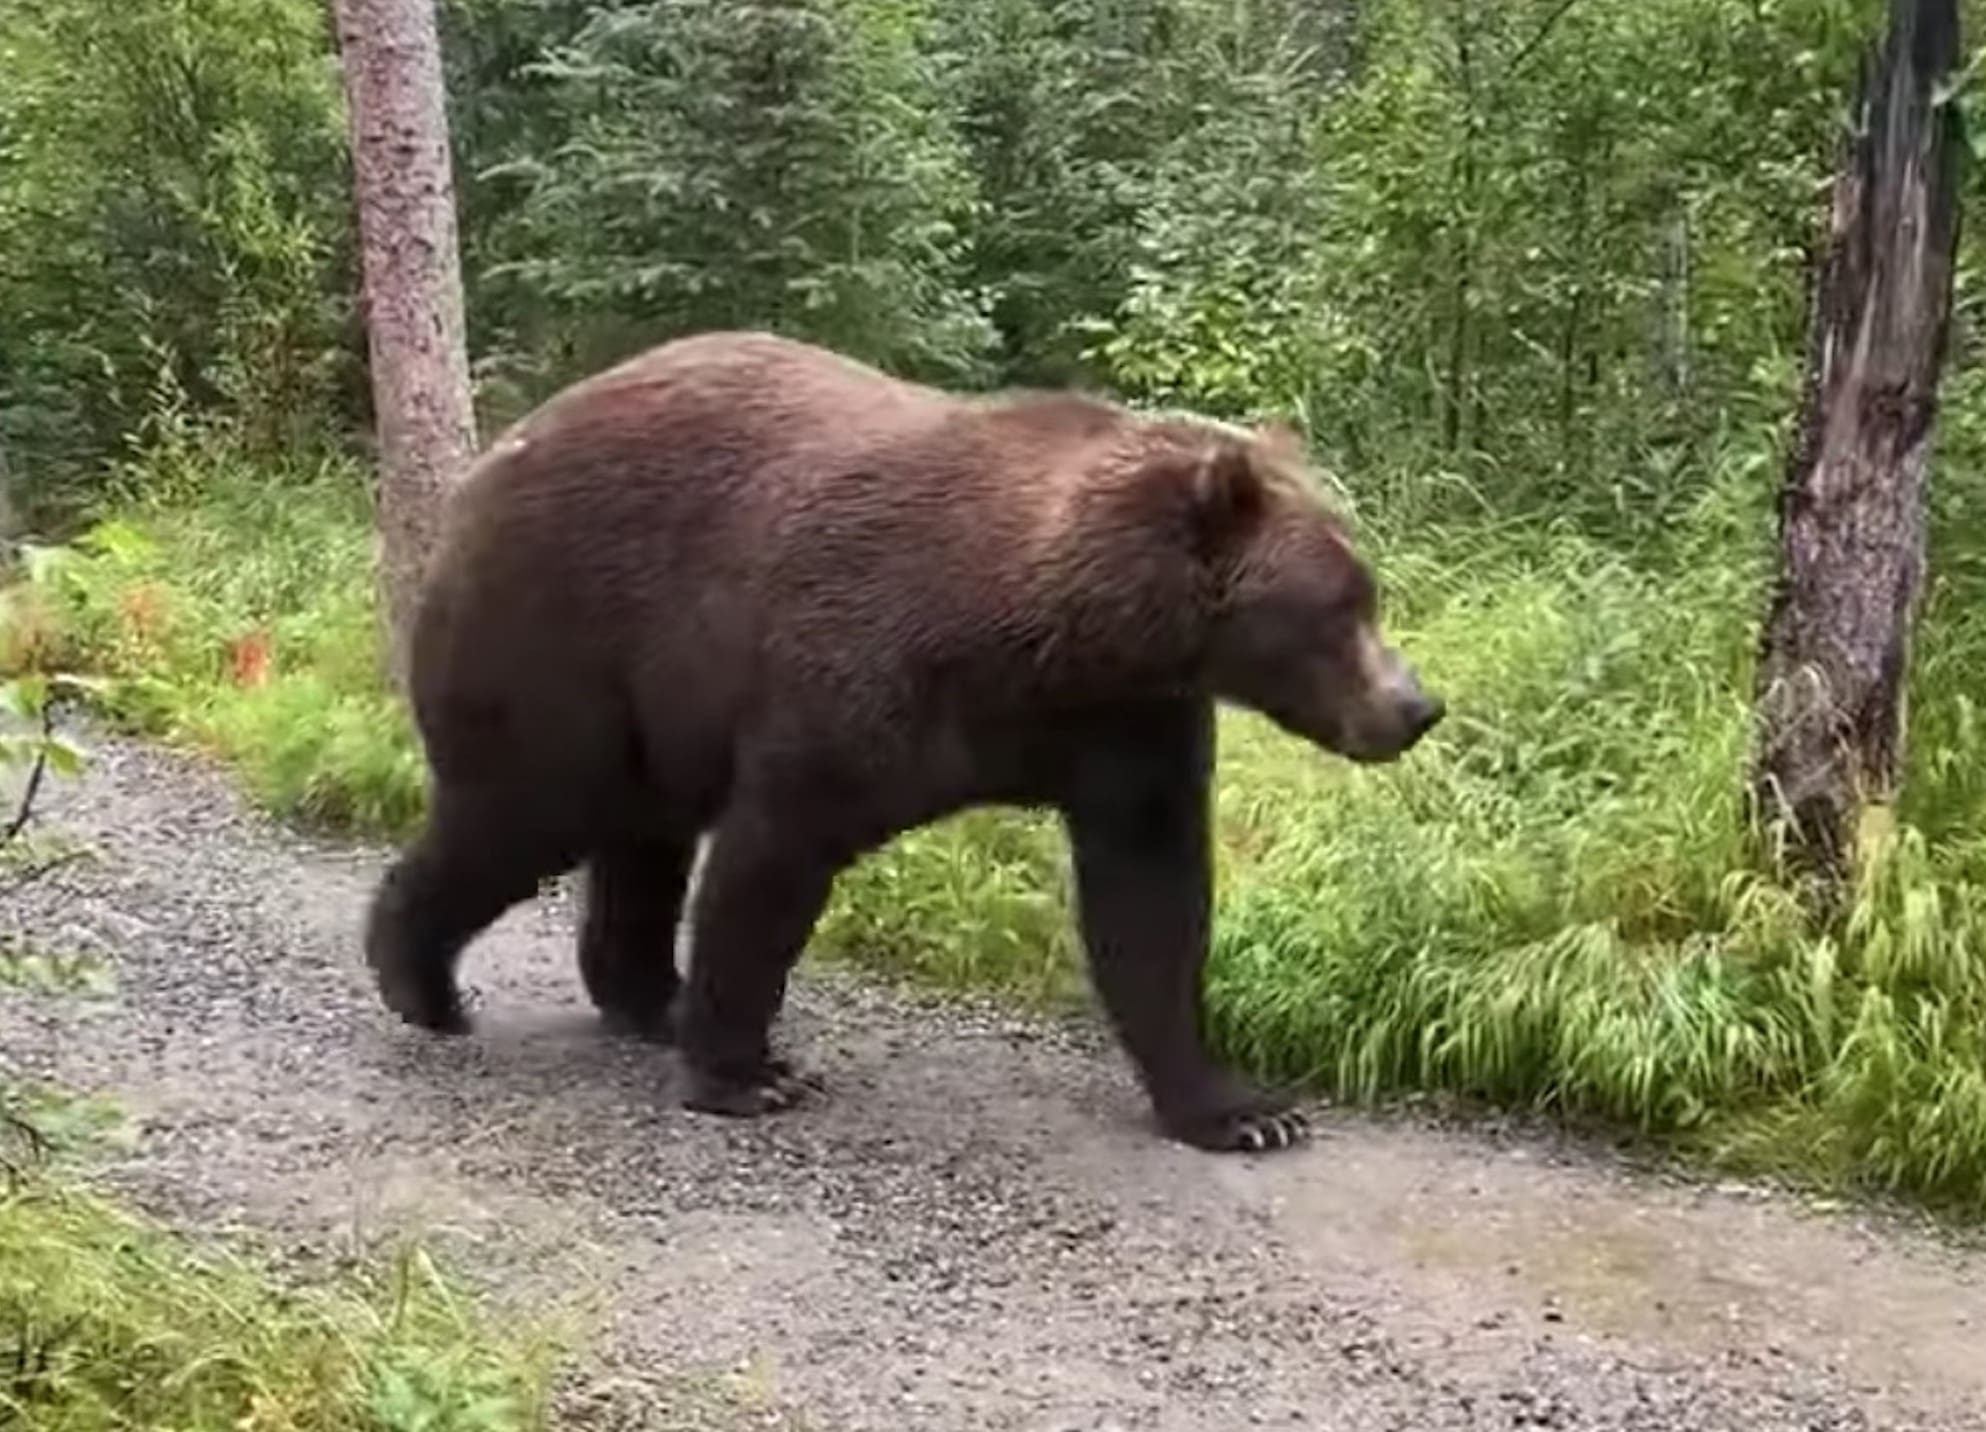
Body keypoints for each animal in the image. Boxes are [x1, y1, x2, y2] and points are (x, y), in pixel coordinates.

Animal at [363, 330, 1444, 1154]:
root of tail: (492, 458)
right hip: (562, 632)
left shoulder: (1128, 725)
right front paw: (749, 1072)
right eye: (1337, 609)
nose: (1414, 705)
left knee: (640, 837)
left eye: (1368, 594)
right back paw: (423, 982)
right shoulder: (859, 677)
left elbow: (1151, 898)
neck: (1056, 636)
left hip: (654, 703)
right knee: (525, 811)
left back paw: (642, 996)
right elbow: (773, 861)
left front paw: (1239, 1108)